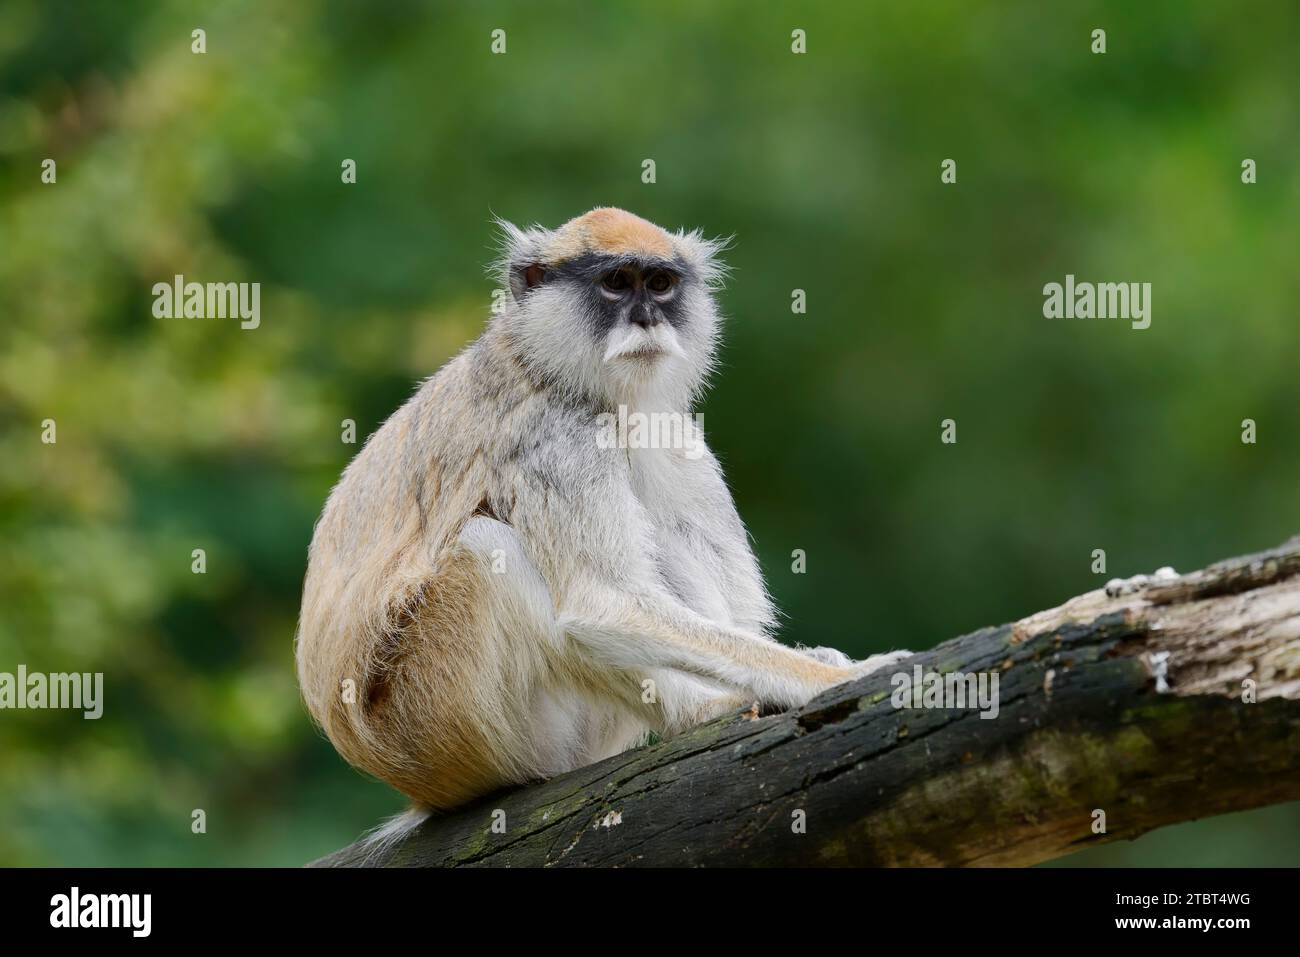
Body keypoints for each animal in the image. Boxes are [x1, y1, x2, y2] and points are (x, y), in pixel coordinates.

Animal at [294, 207, 909, 831]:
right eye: (616, 283)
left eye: (659, 285)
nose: (646, 318)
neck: (549, 364)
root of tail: (417, 788)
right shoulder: (555, 439)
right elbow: (601, 606)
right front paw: (842, 677)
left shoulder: (673, 435)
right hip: (449, 726)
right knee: (488, 547)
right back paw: (701, 709)